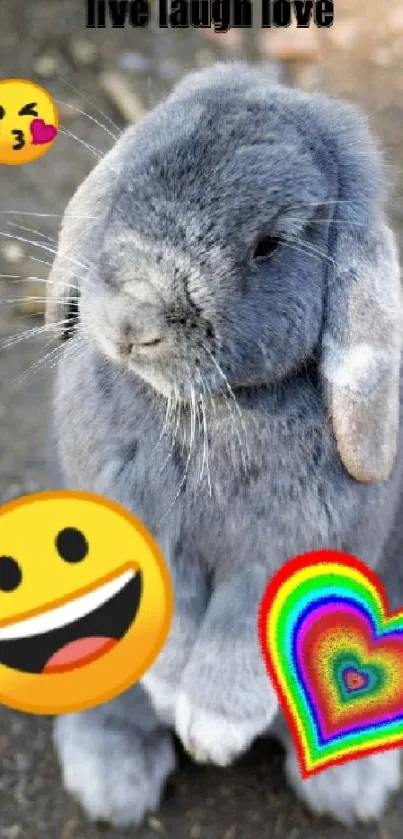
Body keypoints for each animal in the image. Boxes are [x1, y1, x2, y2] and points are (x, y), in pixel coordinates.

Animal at [46, 61, 403, 827]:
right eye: (128, 182)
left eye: (267, 245)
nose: (133, 321)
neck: (209, 407)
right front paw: (174, 698)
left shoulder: (290, 549)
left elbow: (243, 629)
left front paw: (212, 731)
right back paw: (112, 783)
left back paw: (352, 786)